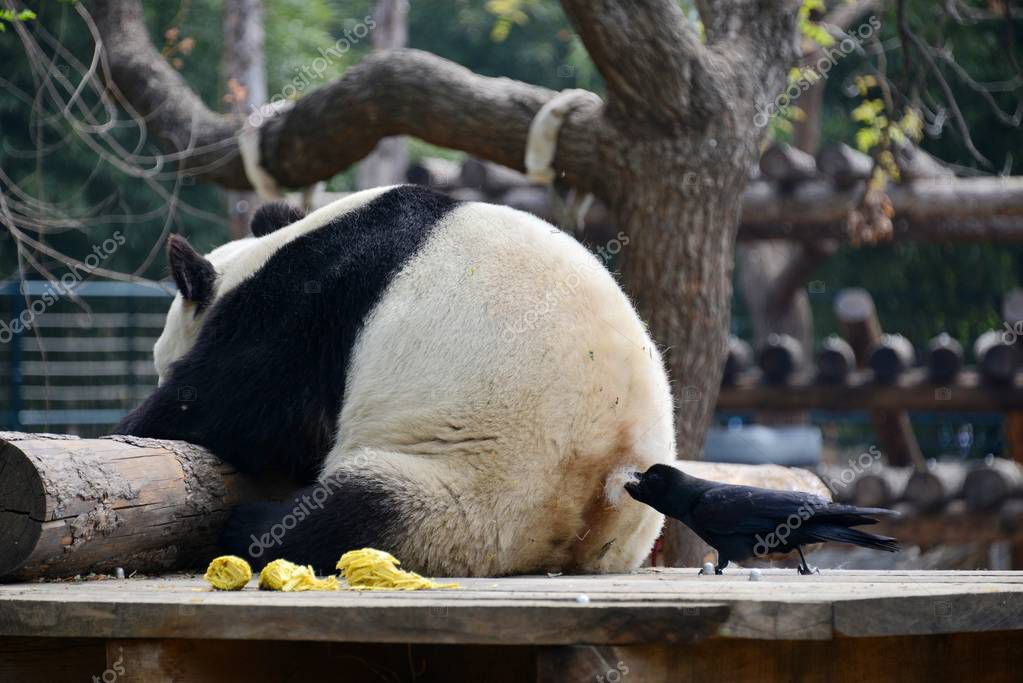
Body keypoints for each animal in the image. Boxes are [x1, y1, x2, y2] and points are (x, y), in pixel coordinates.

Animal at [116, 185, 675, 576]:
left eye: (159, 361)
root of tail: (599, 495)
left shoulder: (314, 297)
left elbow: (240, 402)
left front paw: (136, 425)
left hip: (481, 494)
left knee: (356, 514)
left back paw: (254, 528)